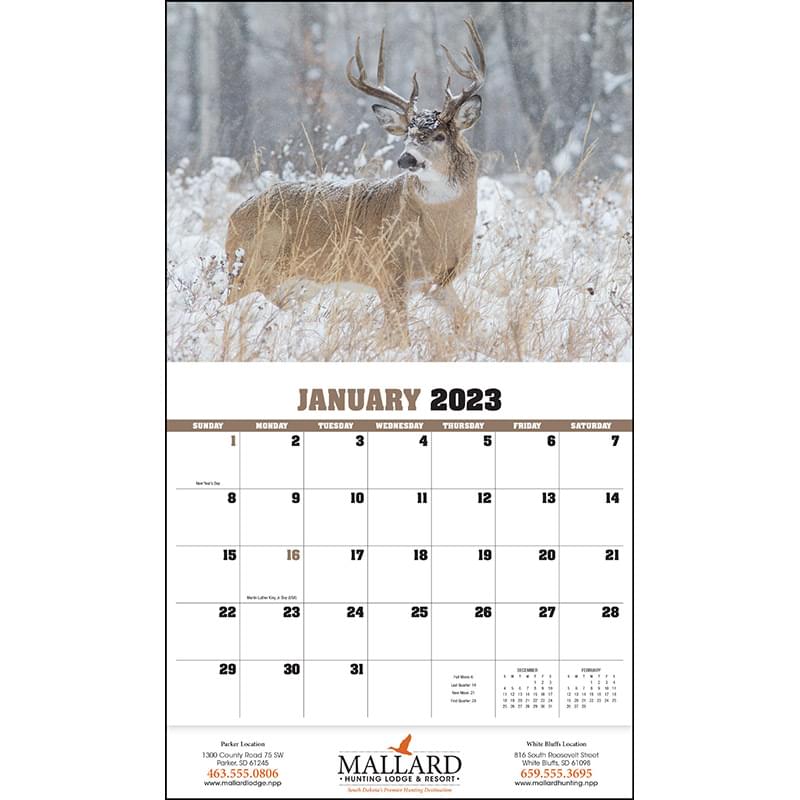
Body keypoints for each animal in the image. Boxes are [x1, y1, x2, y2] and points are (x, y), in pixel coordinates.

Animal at [224, 18, 486, 345]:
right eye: (408, 134)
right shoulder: (387, 273)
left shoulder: (437, 283)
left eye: (439, 136)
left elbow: (465, 320)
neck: (438, 232)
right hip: (249, 268)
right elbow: (400, 336)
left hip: (291, 284)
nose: (406, 159)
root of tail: (233, 216)